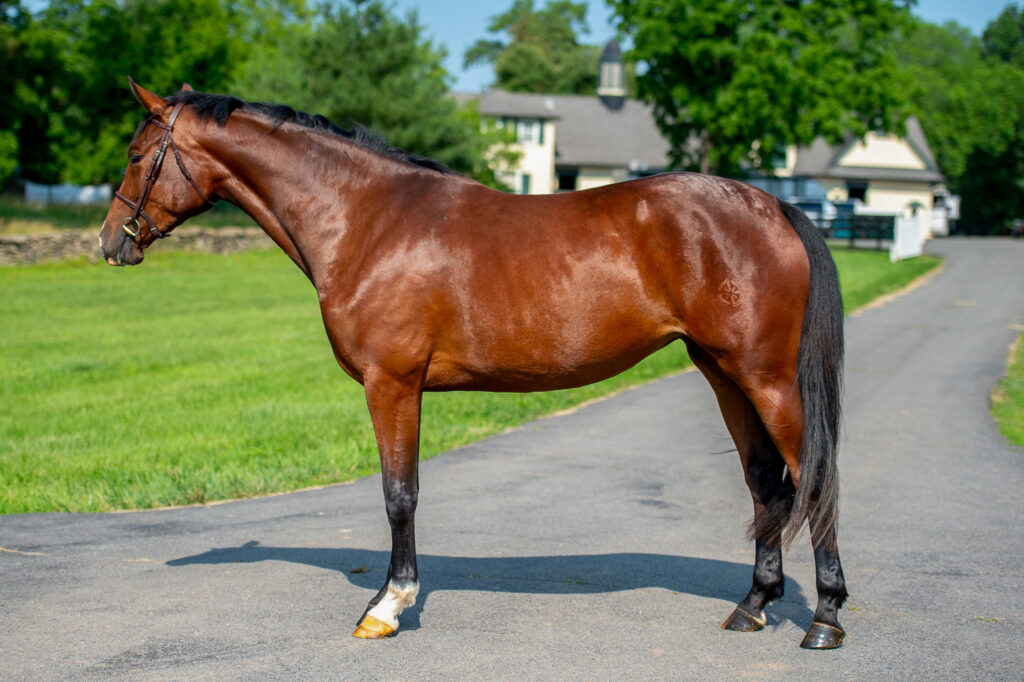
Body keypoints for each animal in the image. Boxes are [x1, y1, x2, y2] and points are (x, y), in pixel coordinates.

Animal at [100, 81, 848, 649]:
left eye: (136, 154)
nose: (110, 243)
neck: (367, 220)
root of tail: (774, 205)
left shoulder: (393, 384)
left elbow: (399, 494)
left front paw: (388, 606)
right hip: (725, 375)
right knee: (767, 484)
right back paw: (752, 606)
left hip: (766, 379)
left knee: (816, 479)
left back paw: (825, 618)